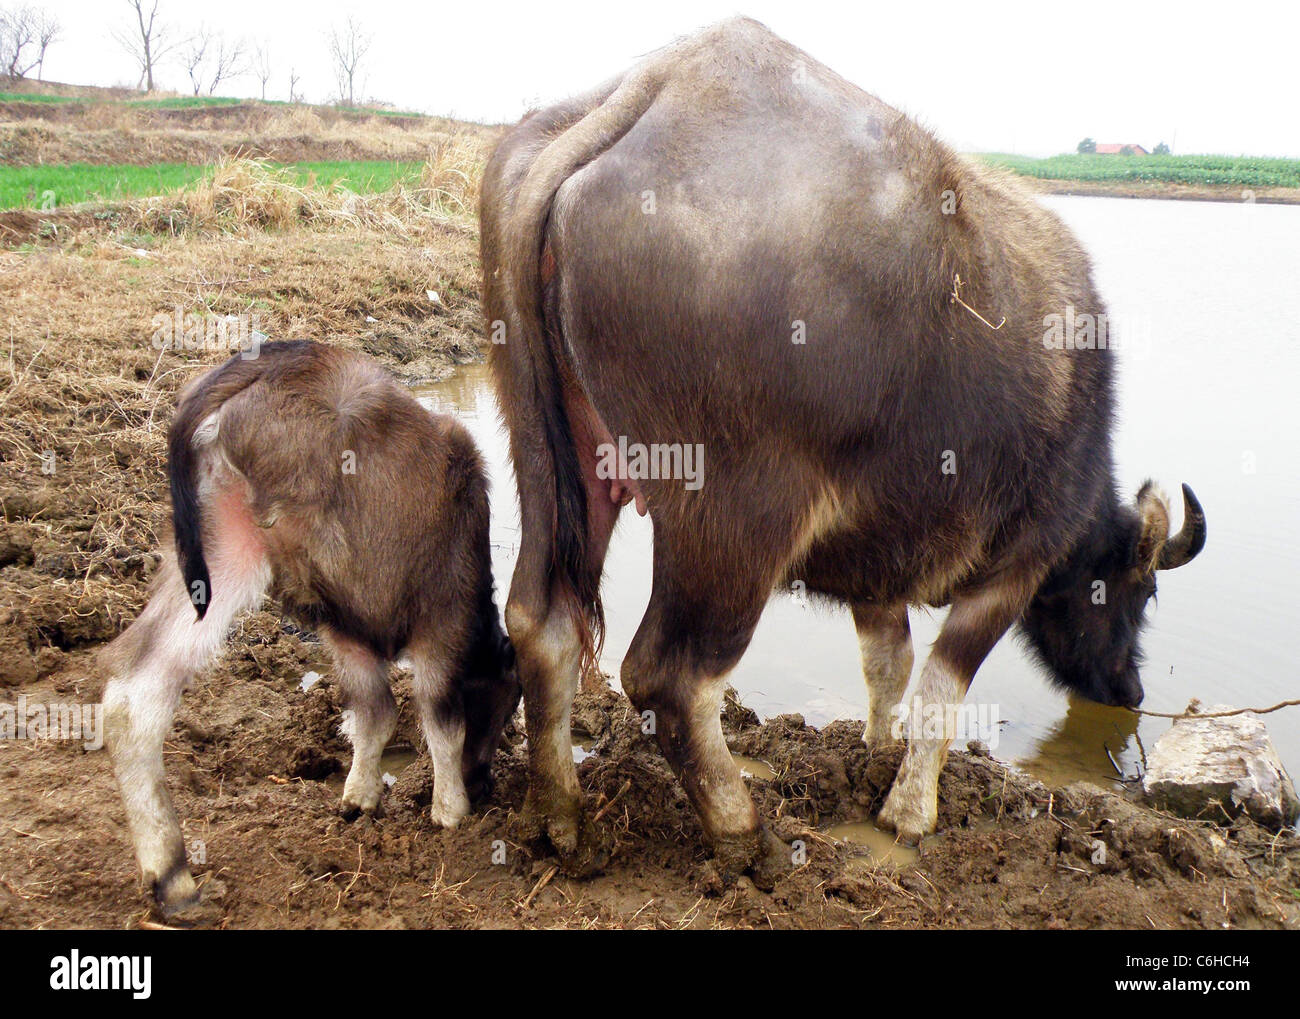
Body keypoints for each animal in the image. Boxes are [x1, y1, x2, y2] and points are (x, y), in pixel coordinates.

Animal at [101, 340, 520, 916]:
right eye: (507, 703)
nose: (482, 786)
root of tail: (269, 361)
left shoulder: (343, 628)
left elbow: (374, 715)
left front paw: (359, 798)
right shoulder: (439, 622)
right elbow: (438, 721)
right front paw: (449, 809)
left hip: (222, 550)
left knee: (136, 690)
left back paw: (172, 880)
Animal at [481, 17, 1206, 884]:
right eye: (1139, 593)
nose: (1128, 686)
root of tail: (658, 86)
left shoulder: (878, 561)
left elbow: (887, 662)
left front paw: (875, 755)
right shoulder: (1018, 560)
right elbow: (942, 679)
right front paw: (911, 809)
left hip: (547, 455)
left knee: (540, 621)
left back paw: (561, 819)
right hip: (731, 518)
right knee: (670, 676)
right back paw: (744, 834)